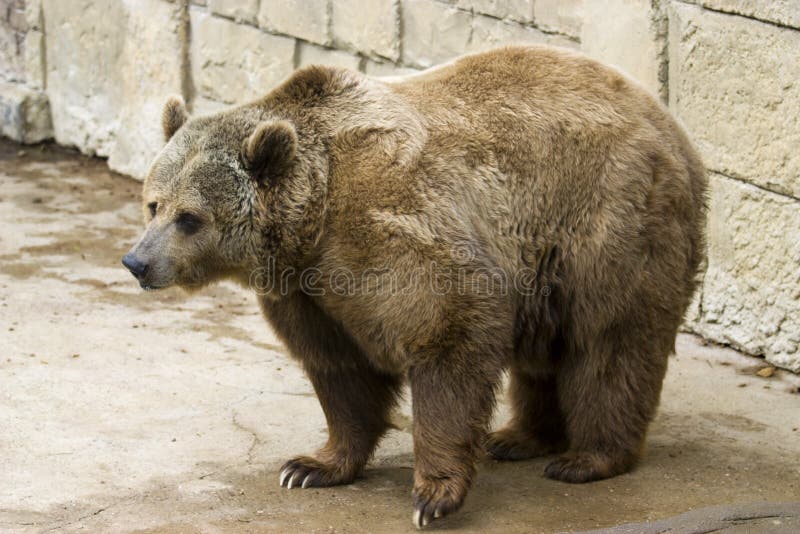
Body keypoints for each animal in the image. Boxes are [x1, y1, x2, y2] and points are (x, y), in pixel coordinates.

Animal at [122, 45, 707, 529]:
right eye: (153, 203)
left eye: (190, 218)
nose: (137, 261)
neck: (312, 222)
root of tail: (671, 123)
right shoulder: (309, 294)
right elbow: (340, 371)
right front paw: (311, 466)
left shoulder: (393, 228)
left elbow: (449, 333)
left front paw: (433, 495)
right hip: (544, 261)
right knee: (546, 350)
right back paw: (518, 437)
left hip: (607, 221)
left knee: (609, 342)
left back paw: (587, 458)